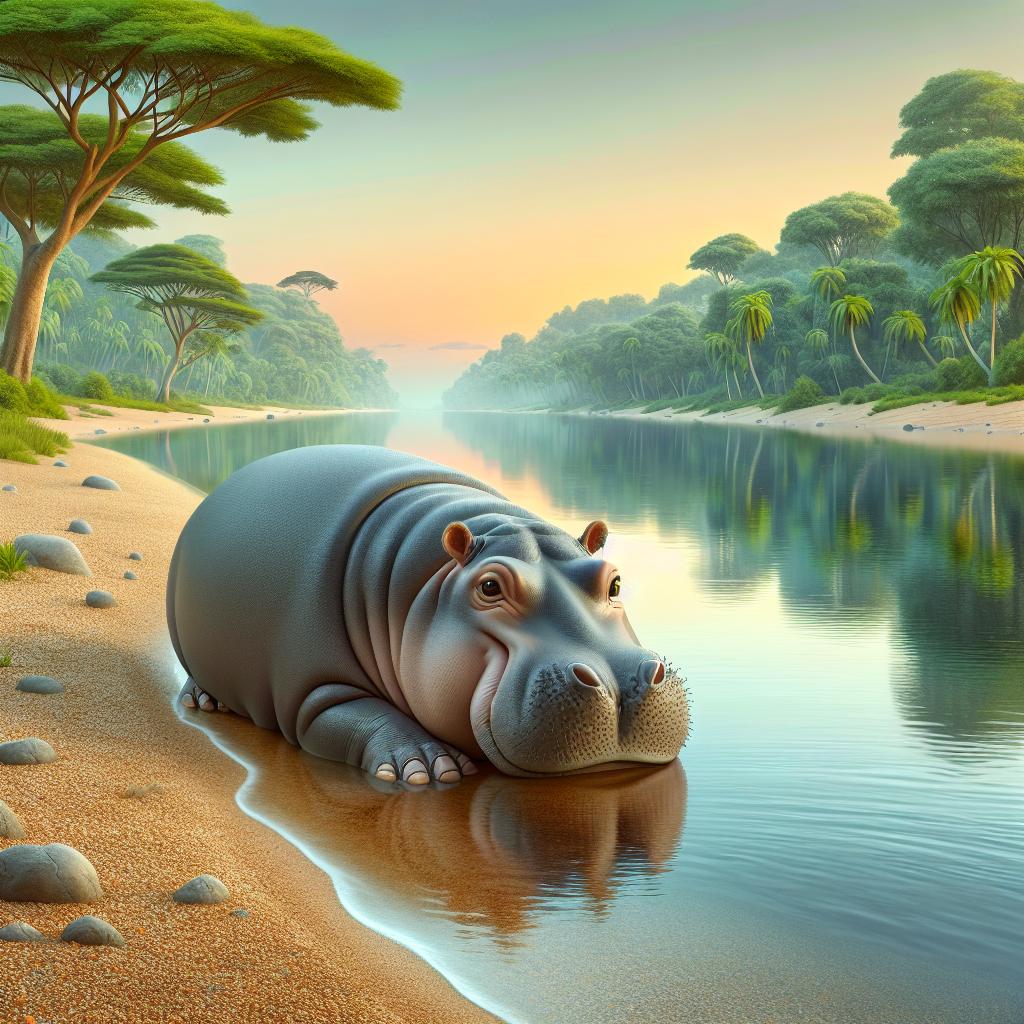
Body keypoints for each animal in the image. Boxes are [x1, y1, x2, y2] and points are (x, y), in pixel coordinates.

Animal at [167, 445, 689, 785]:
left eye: (613, 580)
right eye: (489, 586)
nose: (619, 684)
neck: (430, 581)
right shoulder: (313, 692)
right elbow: (356, 713)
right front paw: (425, 766)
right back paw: (205, 702)